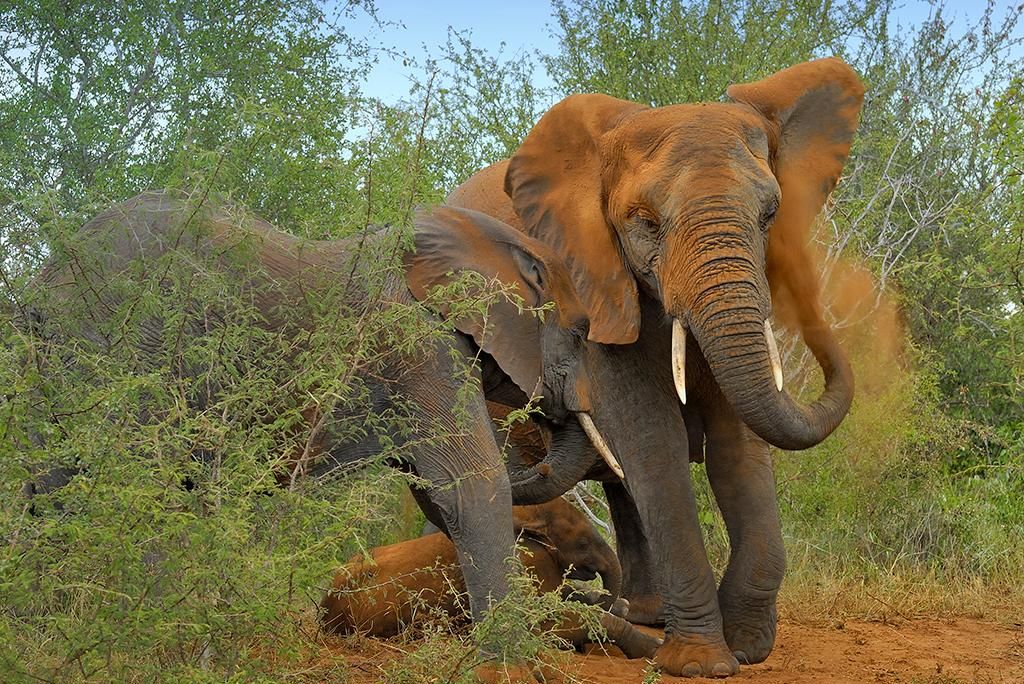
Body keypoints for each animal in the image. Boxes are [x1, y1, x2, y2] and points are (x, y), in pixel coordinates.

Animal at [23, 189, 624, 641]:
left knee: (49, 487)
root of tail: (46, 280)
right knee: (141, 480)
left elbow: (442, 494)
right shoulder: (420, 347)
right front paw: (511, 658)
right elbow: (469, 485)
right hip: (126, 342)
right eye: (578, 334)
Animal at [447, 57, 863, 676]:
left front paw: (747, 648)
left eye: (770, 214)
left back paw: (643, 614)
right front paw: (700, 665)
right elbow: (653, 440)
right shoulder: (593, 280)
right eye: (643, 222)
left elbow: (736, 444)